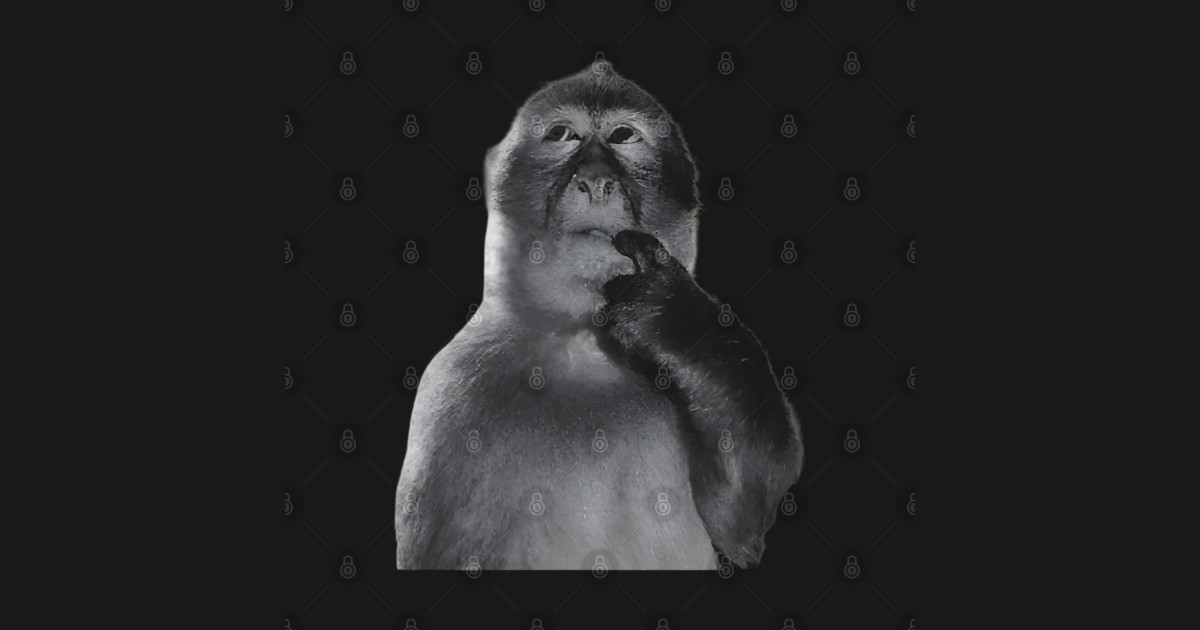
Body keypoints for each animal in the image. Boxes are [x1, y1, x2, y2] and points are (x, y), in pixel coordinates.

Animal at [395, 63, 803, 570]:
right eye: (562, 135)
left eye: (623, 135)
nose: (595, 181)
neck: (581, 340)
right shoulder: (453, 393)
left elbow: (740, 525)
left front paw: (673, 316)